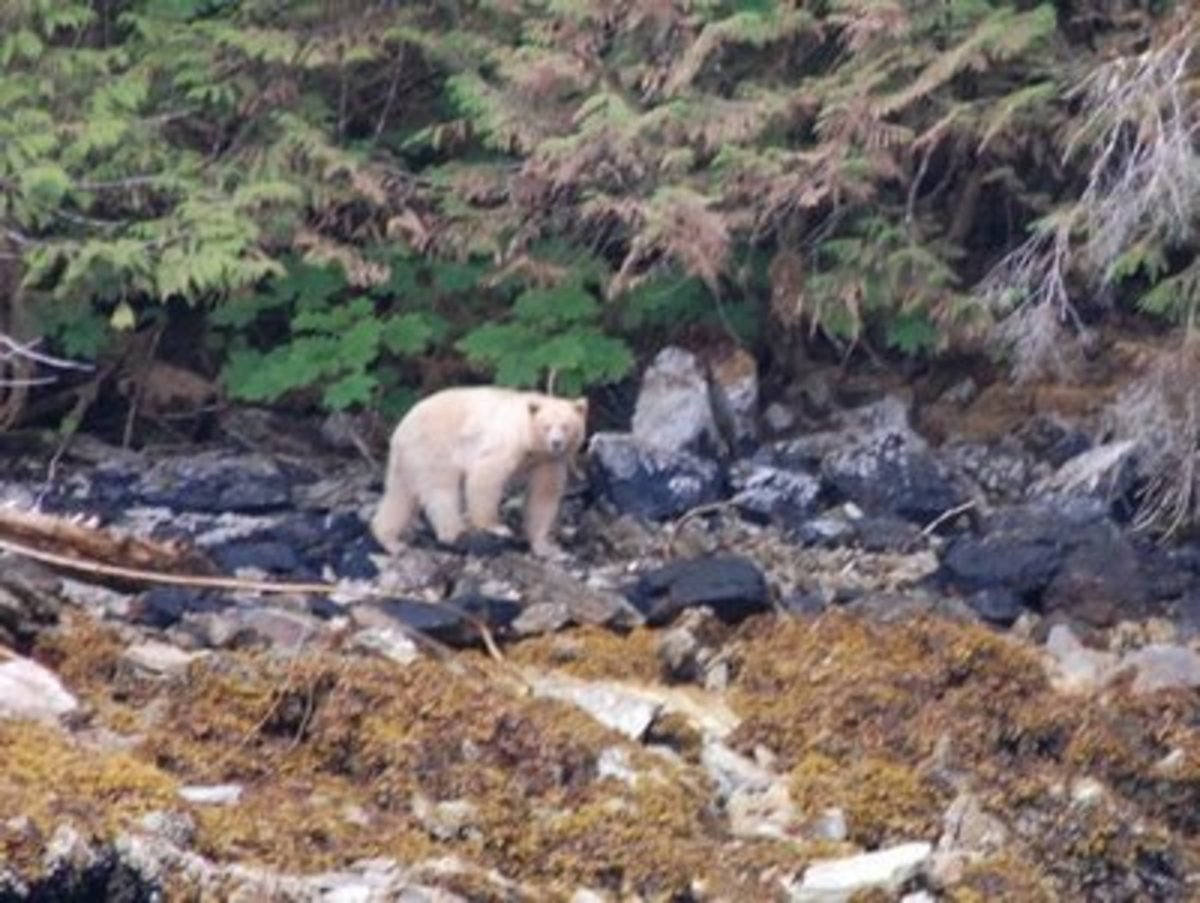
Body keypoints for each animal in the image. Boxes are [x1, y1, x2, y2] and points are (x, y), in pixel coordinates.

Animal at [370, 386, 588, 558]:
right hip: (434, 449)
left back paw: (390, 540)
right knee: (441, 492)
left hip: (407, 461)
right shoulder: (508, 443)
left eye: (566, 426)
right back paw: (454, 532)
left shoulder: (549, 461)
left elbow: (544, 495)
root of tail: (400, 429)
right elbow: (486, 476)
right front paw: (497, 528)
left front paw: (545, 546)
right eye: (546, 426)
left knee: (400, 496)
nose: (556, 442)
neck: (531, 445)